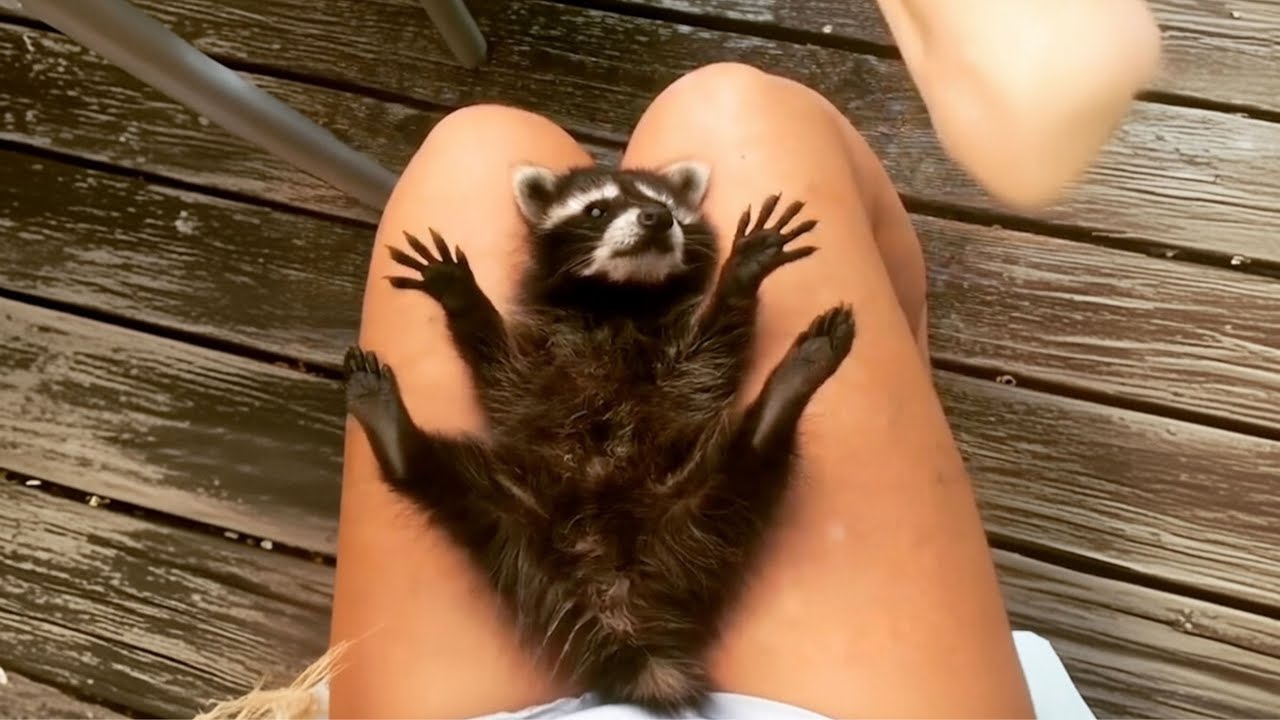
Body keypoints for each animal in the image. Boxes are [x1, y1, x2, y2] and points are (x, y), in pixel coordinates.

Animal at [341, 160, 856, 714]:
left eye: (666, 206)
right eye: (597, 210)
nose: (655, 218)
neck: (620, 299)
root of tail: (622, 605)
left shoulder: (684, 361)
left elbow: (719, 346)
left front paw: (741, 277)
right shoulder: (536, 365)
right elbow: (495, 360)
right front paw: (464, 299)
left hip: (700, 501)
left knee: (754, 457)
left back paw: (784, 396)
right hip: (511, 520)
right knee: (440, 478)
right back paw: (400, 442)